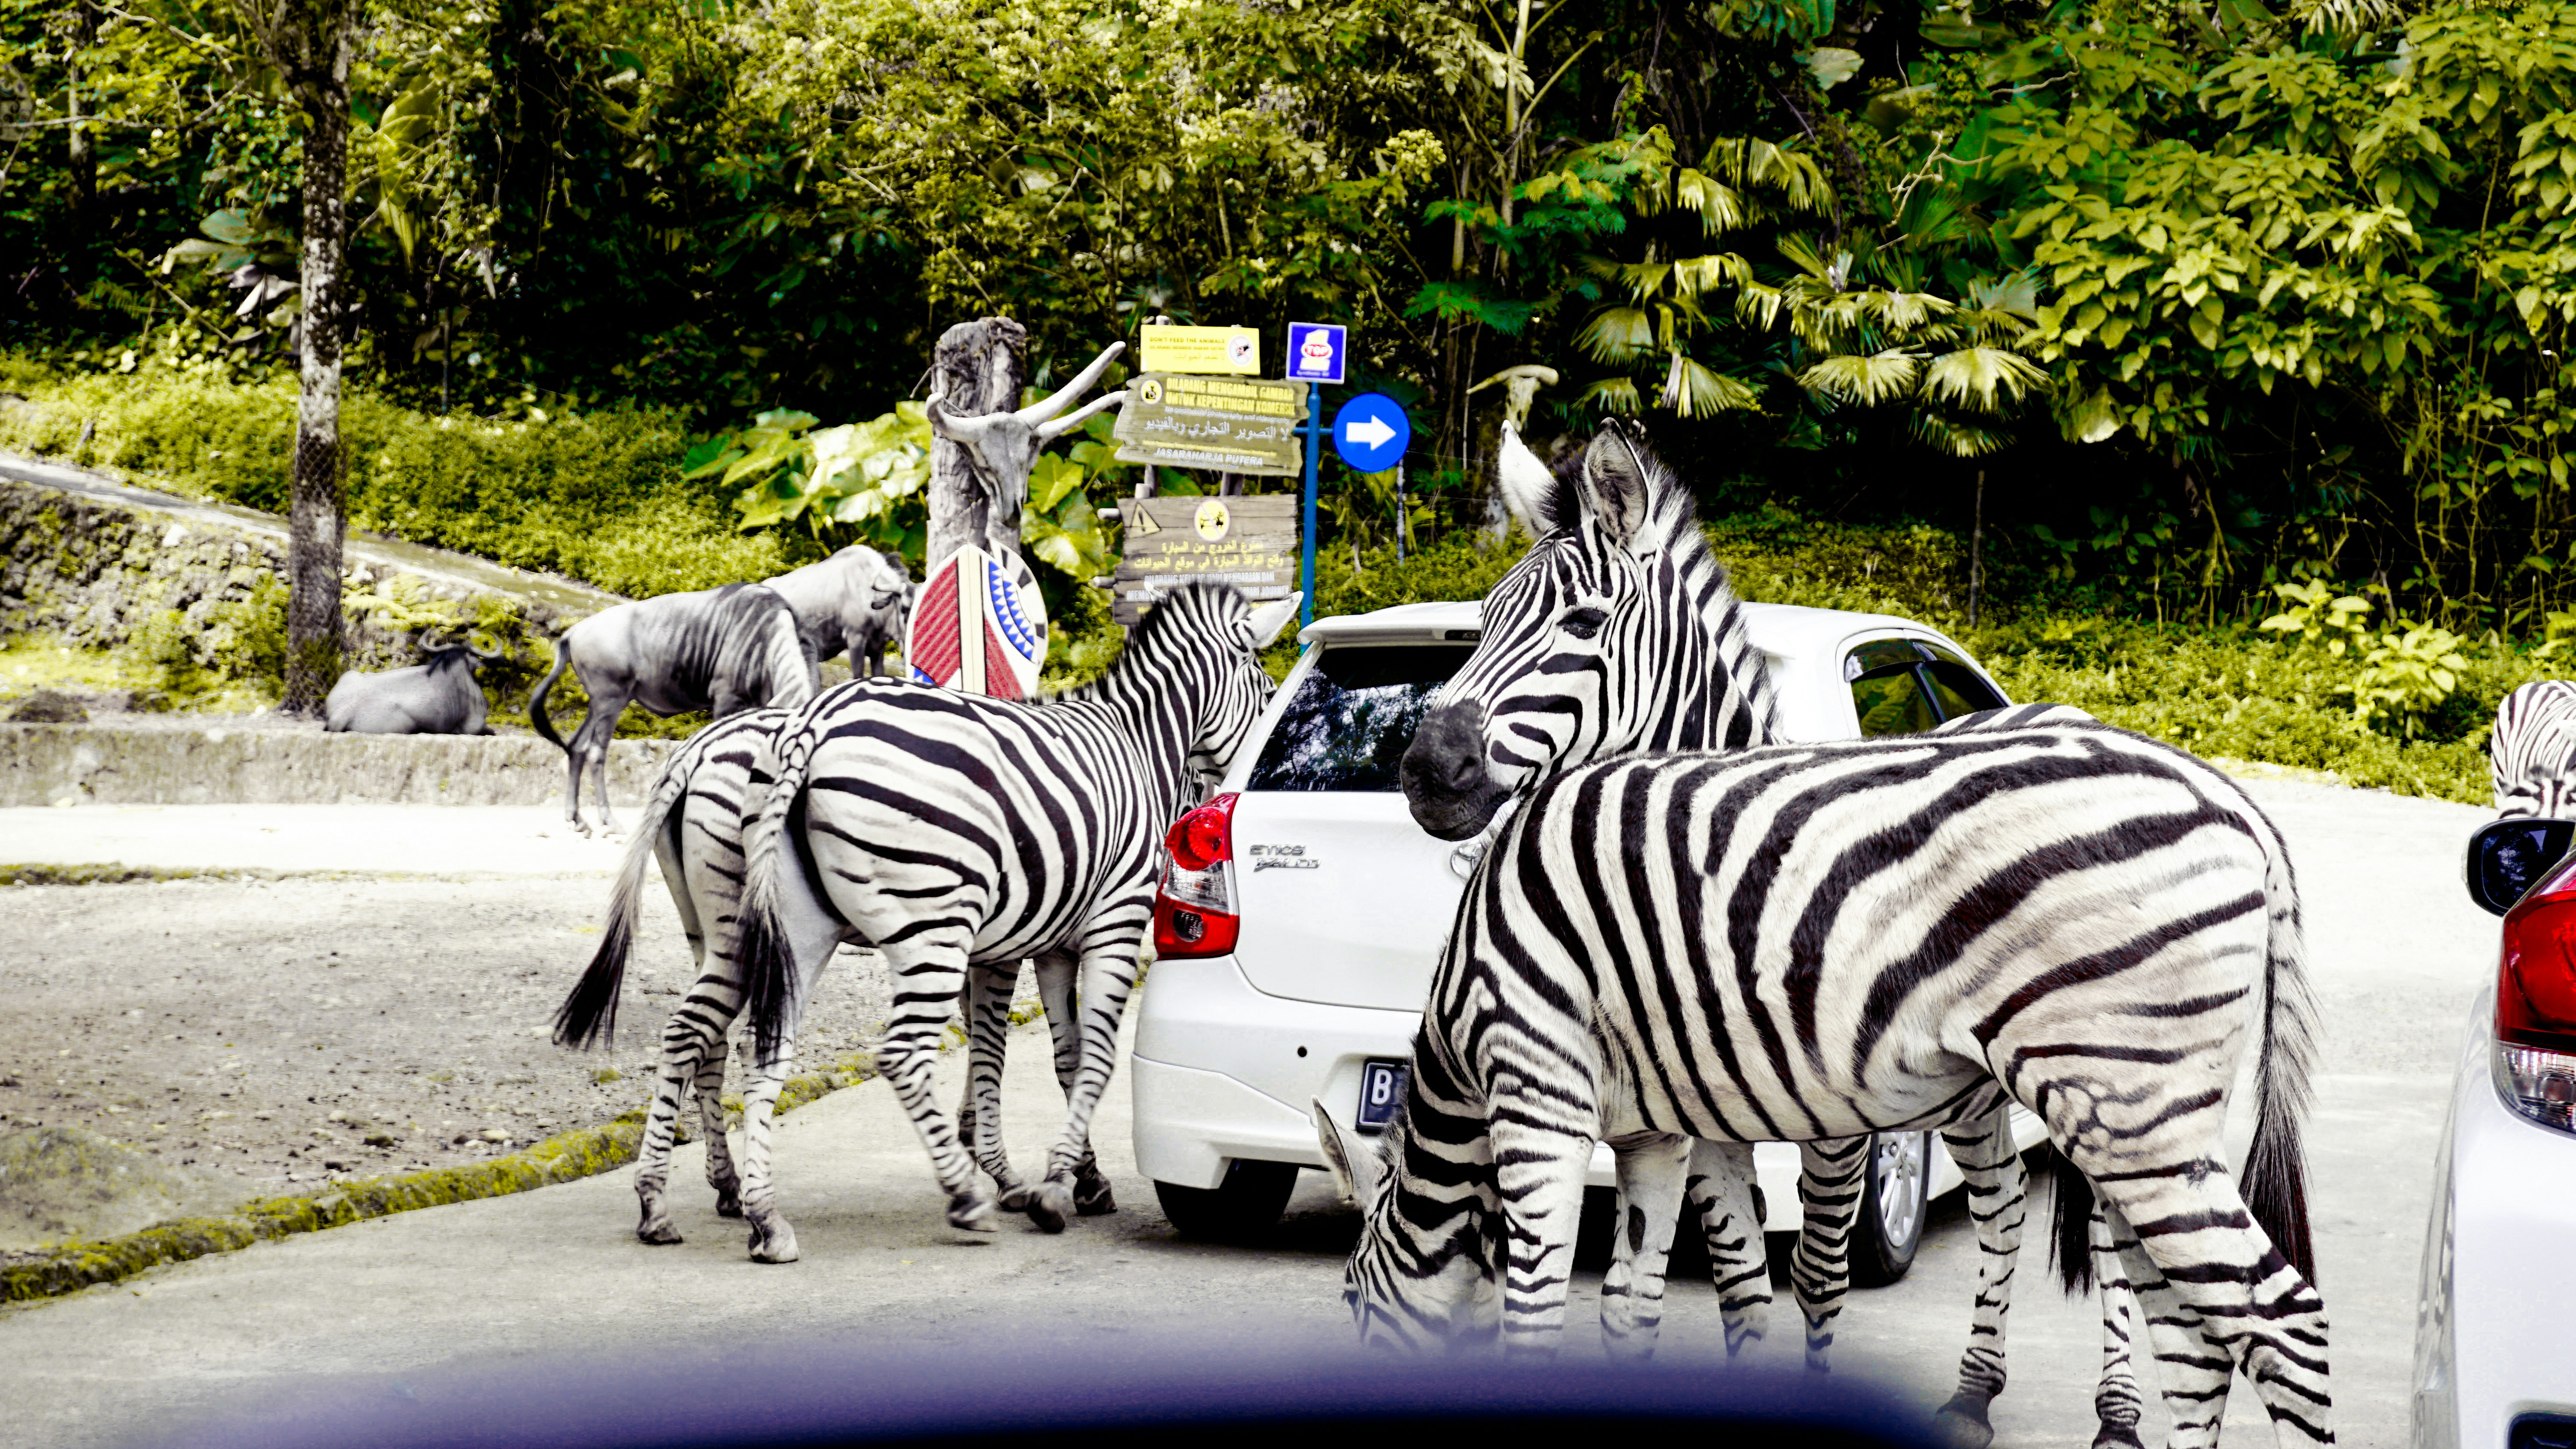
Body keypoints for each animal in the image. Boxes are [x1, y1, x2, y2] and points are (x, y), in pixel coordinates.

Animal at [551, 709, 1114, 1243]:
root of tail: (695, 750)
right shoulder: (1004, 942)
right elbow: (1006, 1049)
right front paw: (1039, 1174)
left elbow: (987, 1039)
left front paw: (975, 1143)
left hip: (709, 928)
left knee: (705, 1039)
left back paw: (716, 1190)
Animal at [730, 583, 1300, 1261]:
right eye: (1268, 690)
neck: (1140, 742)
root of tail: (814, 722)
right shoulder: (1115, 921)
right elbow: (1094, 1055)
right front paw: (1052, 1188)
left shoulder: (1053, 945)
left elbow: (1064, 1057)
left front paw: (1083, 1178)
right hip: (936, 927)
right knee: (901, 1053)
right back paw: (965, 1200)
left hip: (801, 927)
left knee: (764, 1047)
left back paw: (767, 1218)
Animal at [1357, 421, 2326, 1442]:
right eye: (1485, 620)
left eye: (1582, 625)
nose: (1424, 770)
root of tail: (2226, 797)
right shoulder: (1705, 1112)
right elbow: (1734, 1281)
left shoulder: (1831, 1121)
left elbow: (1817, 1275)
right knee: (2013, 1209)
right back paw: (1978, 1389)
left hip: (2111, 1087)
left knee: (2125, 1254)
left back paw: (2115, 1407)